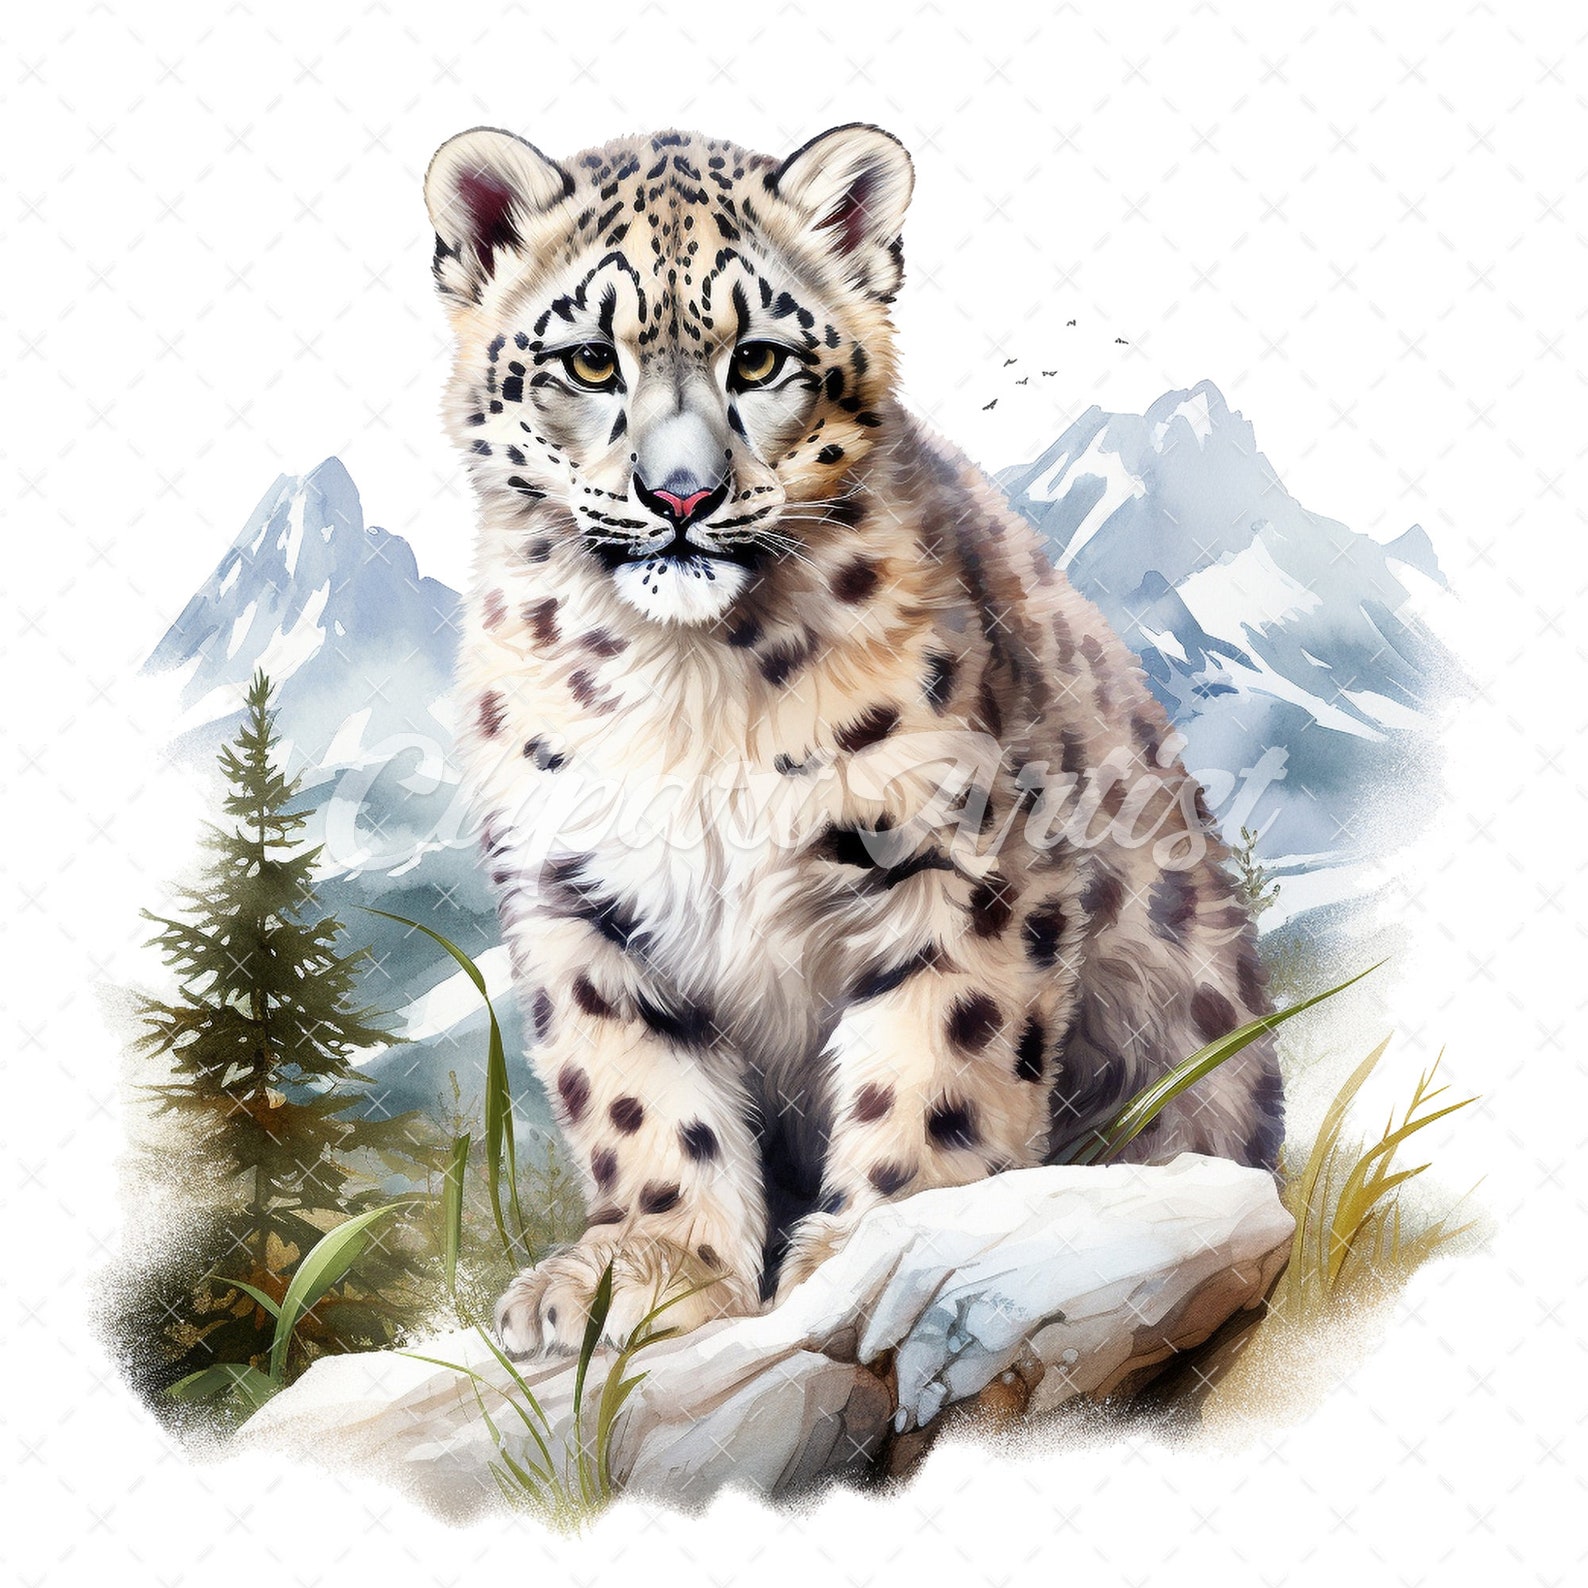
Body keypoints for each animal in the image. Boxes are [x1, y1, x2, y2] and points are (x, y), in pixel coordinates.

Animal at [421, 122, 1284, 1356]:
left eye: (759, 360)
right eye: (589, 362)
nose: (679, 496)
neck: (685, 681)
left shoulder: (961, 851)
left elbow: (942, 1053)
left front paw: (884, 1234)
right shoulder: (574, 889)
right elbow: (638, 1090)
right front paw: (651, 1264)